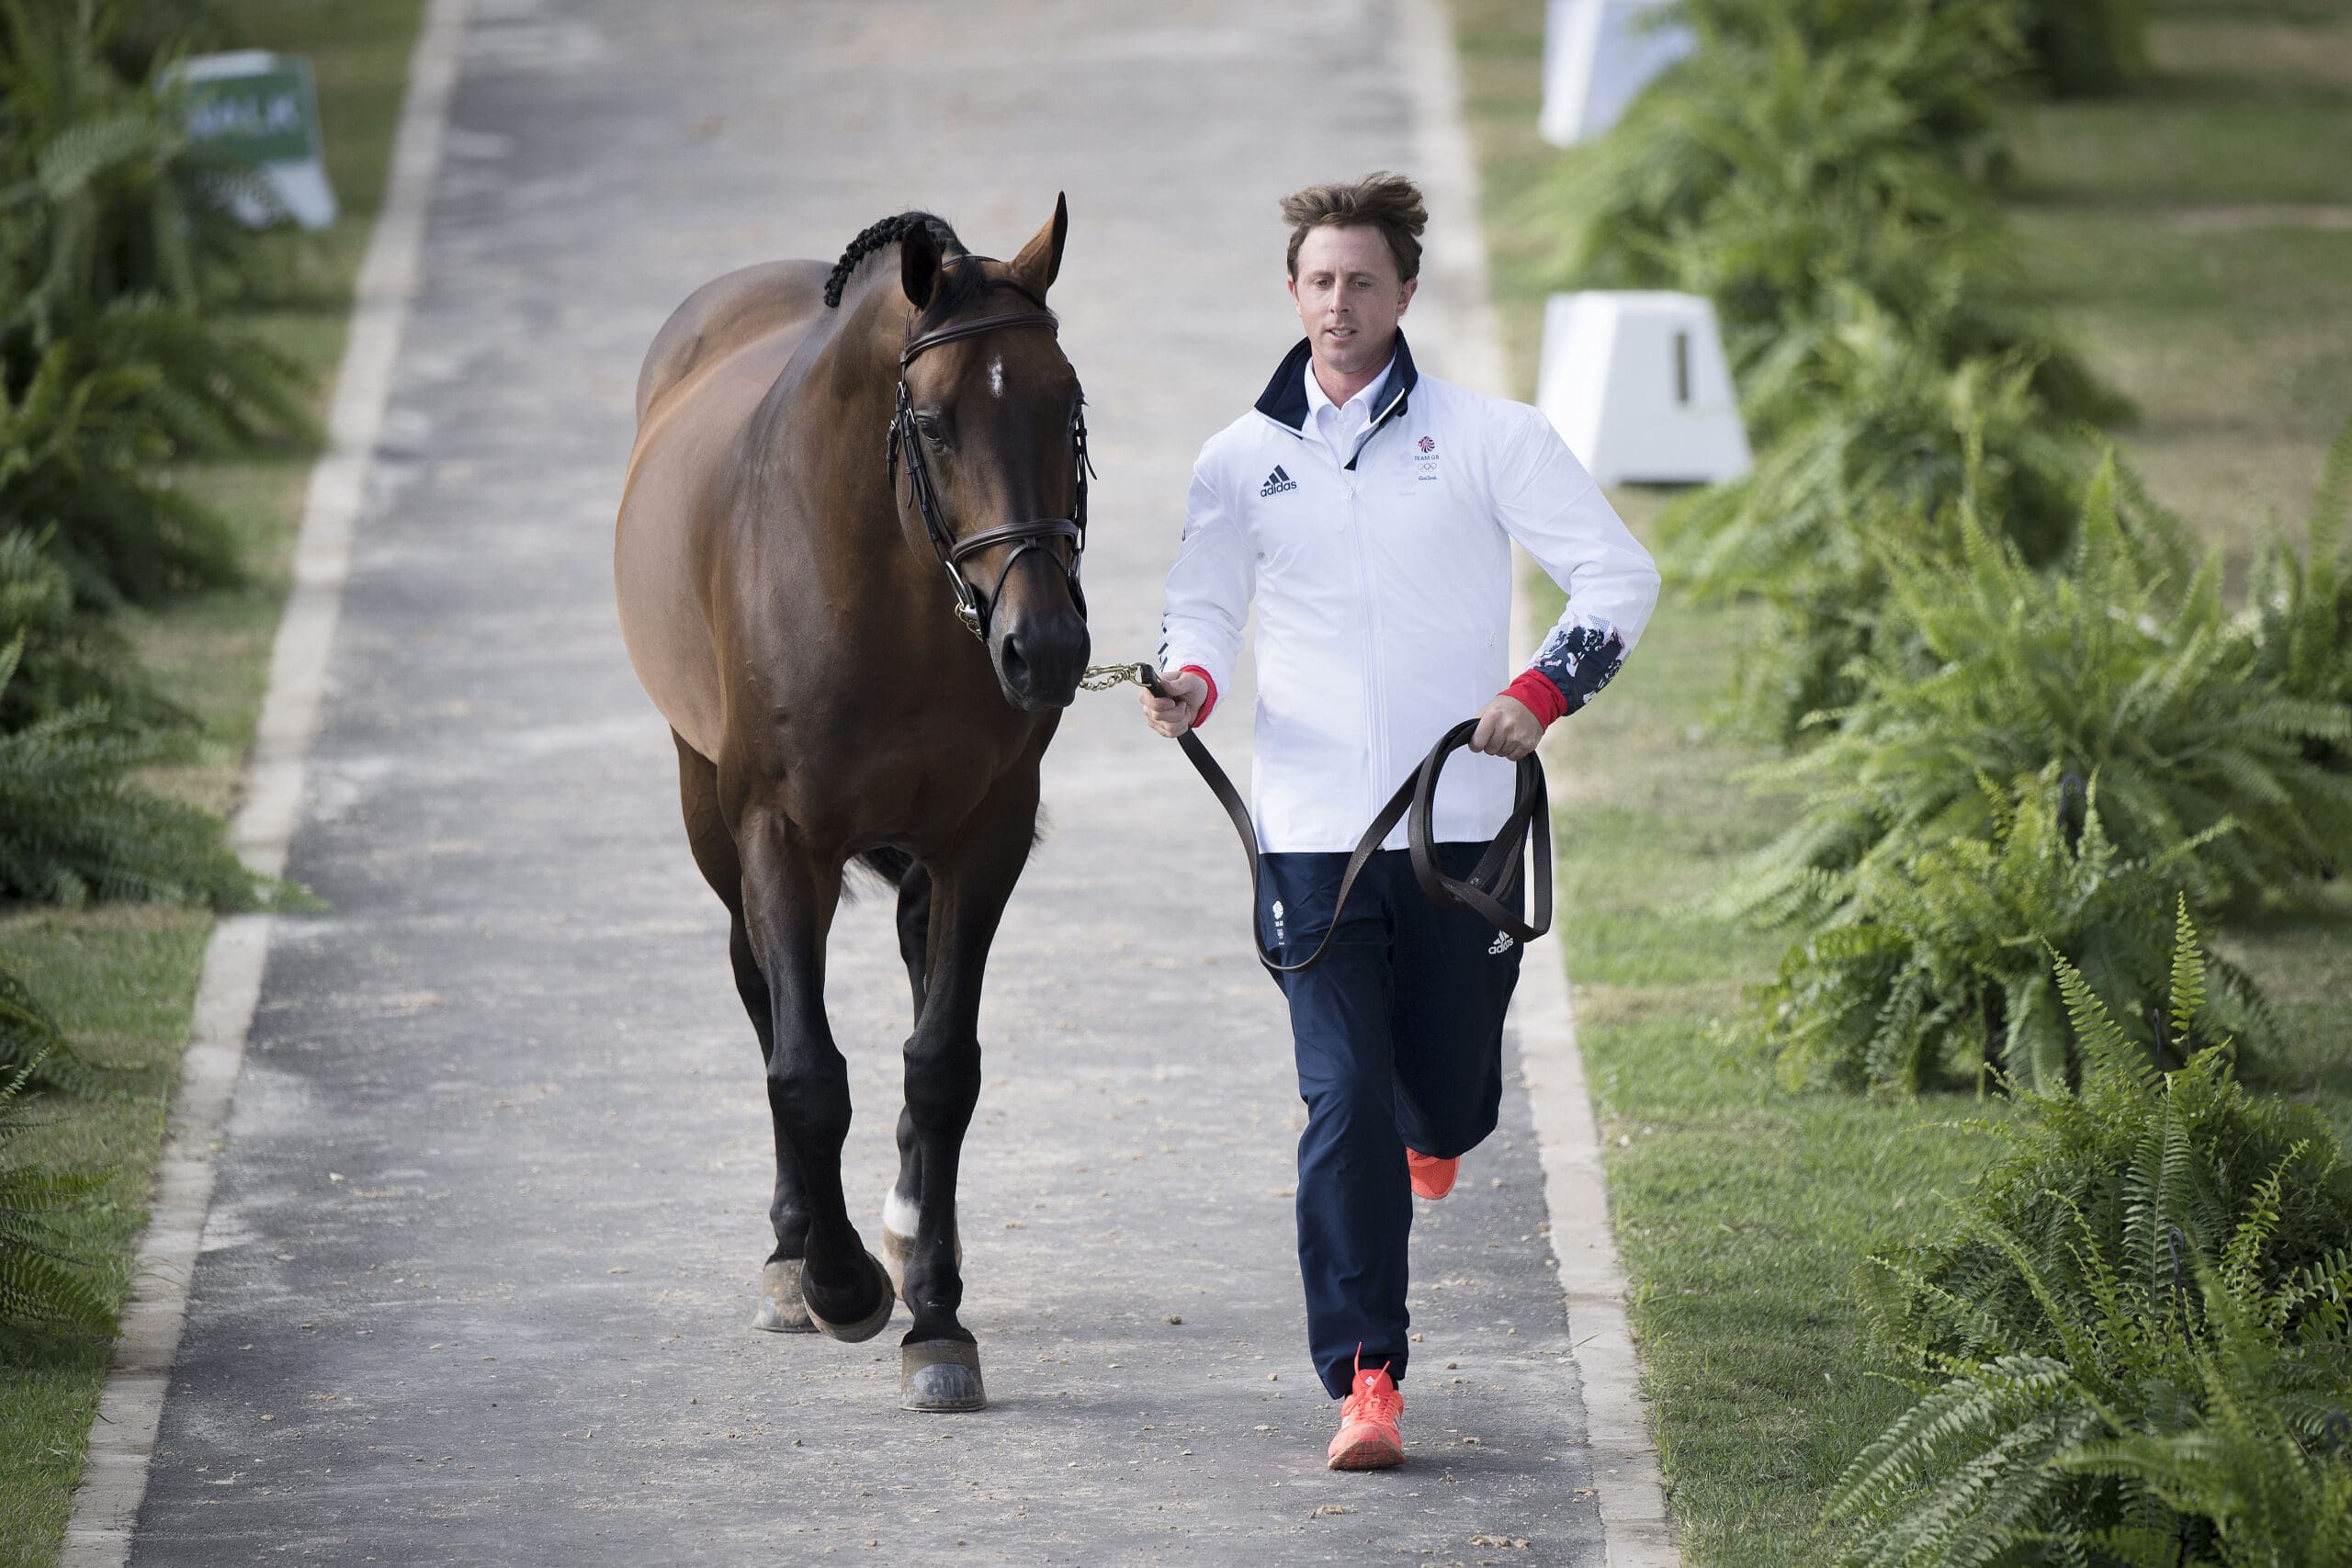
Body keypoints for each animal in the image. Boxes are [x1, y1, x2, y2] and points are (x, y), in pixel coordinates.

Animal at [613, 201, 1092, 1412]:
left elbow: (942, 1065)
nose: (1045, 647)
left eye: (1067, 406)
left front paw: (937, 1318)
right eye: (930, 421)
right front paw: (838, 1286)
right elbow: (804, 1071)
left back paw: (919, 1230)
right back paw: (794, 1254)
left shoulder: (983, 836)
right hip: (709, 809)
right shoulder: (781, 838)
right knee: (757, 988)